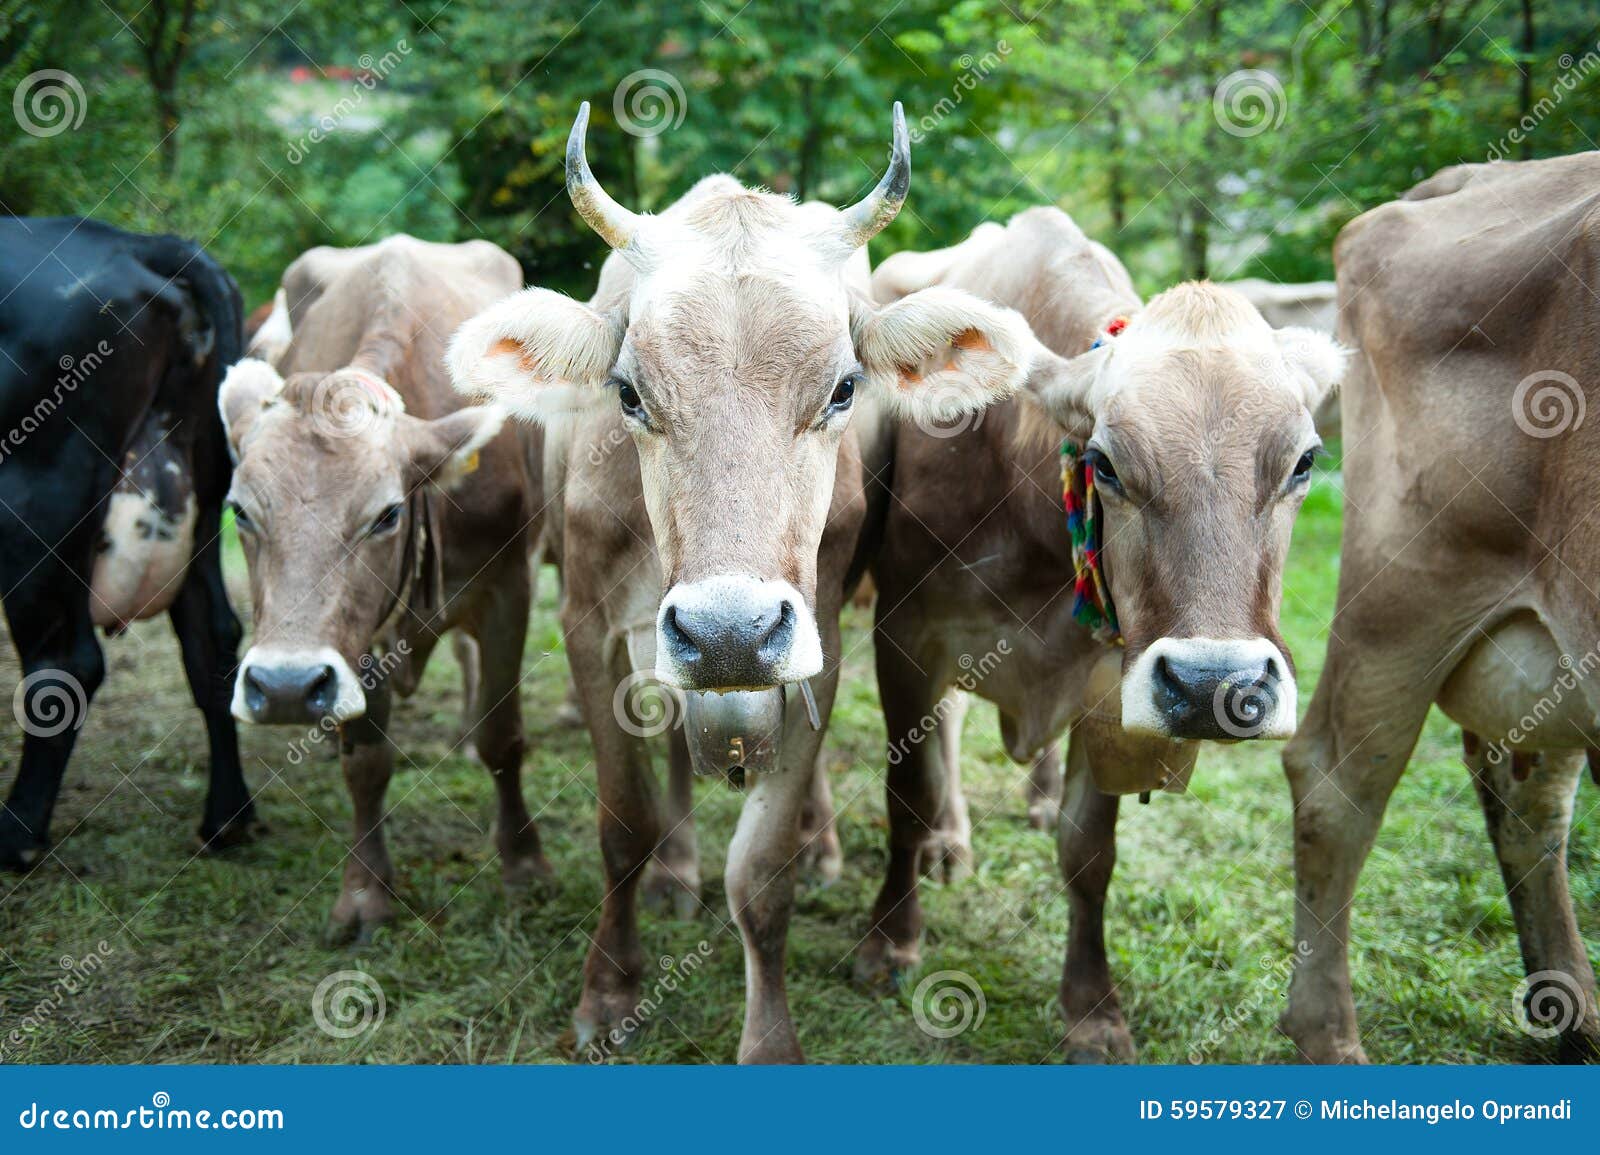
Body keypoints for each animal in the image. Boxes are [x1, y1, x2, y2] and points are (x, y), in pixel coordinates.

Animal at [0, 217, 254, 869]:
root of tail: (137, 240)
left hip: (36, 499)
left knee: (65, 664)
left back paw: (17, 835)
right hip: (202, 495)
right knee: (213, 638)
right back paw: (227, 817)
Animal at [218, 235, 548, 943]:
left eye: (387, 515)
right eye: (240, 512)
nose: (284, 687)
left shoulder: (510, 588)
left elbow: (502, 735)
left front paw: (524, 862)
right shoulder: (357, 638)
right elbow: (365, 762)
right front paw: (366, 892)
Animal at [448, 102, 1040, 1062]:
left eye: (844, 388)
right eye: (628, 391)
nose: (728, 631)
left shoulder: (814, 640)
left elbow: (763, 870)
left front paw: (770, 1039)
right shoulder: (588, 623)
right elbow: (624, 819)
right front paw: (610, 987)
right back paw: (679, 868)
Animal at [863, 206, 1347, 1062]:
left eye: (1304, 461)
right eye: (1106, 462)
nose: (1214, 686)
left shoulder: (1104, 677)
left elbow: (1089, 848)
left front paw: (1092, 1008)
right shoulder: (905, 630)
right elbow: (909, 789)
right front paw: (891, 937)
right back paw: (950, 841)